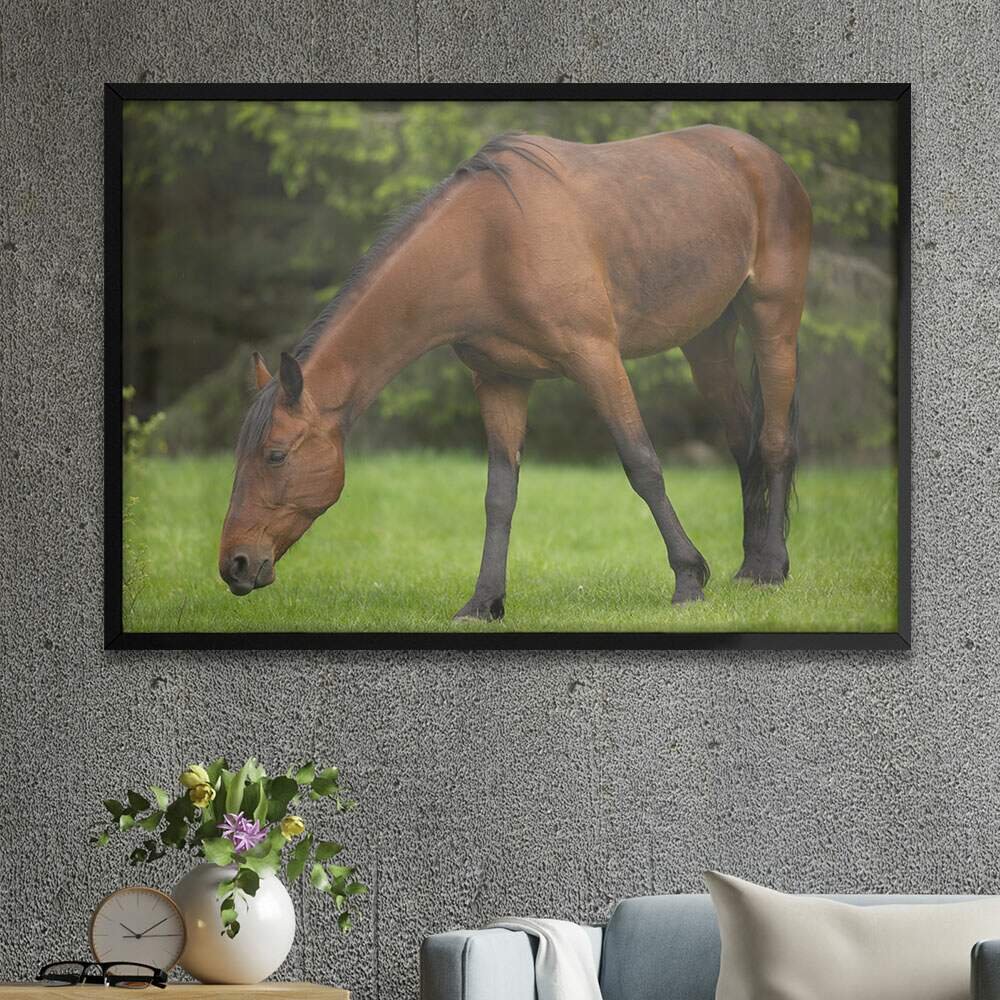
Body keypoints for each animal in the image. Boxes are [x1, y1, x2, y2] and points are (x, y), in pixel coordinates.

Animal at [219, 126, 811, 617]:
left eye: (275, 455)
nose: (235, 565)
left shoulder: (597, 360)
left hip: (773, 321)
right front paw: (484, 602)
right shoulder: (501, 382)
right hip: (705, 342)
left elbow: (642, 465)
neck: (486, 243)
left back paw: (772, 568)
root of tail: (763, 158)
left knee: (775, 440)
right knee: (743, 440)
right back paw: (749, 566)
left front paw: (689, 579)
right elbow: (499, 496)